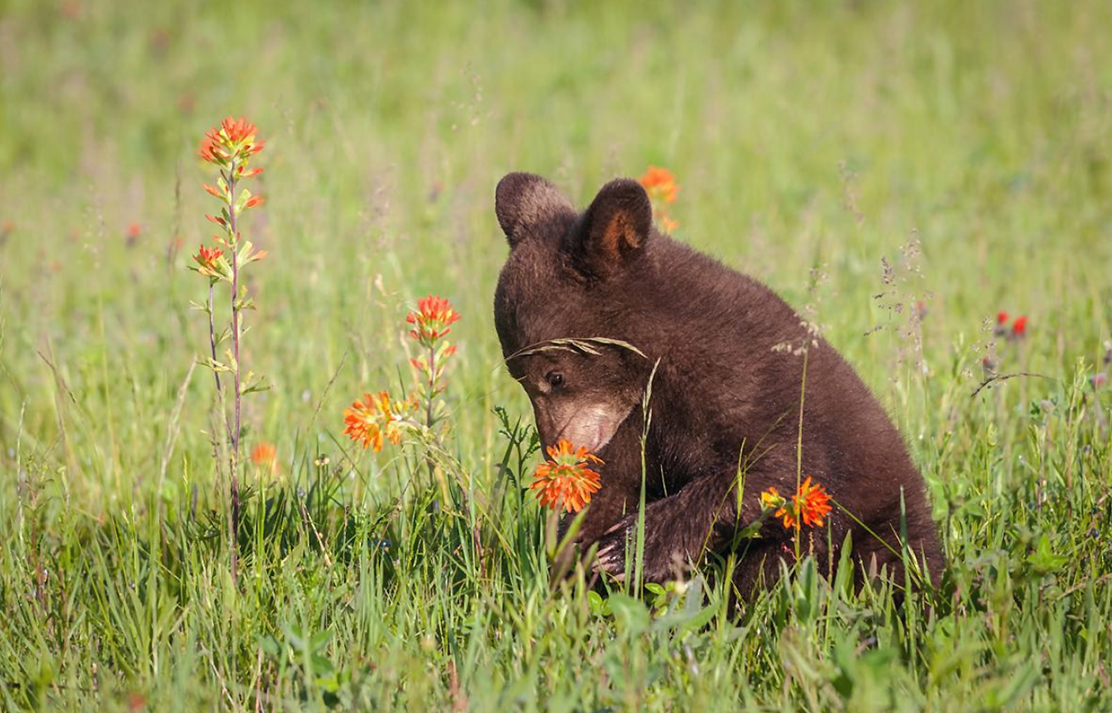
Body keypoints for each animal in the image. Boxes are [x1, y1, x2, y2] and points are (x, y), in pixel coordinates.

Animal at [493, 172, 944, 597]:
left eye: (555, 376)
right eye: (519, 378)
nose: (557, 449)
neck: (659, 364)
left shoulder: (748, 384)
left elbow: (783, 468)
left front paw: (627, 549)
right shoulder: (633, 426)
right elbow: (614, 485)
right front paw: (574, 557)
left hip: (885, 532)